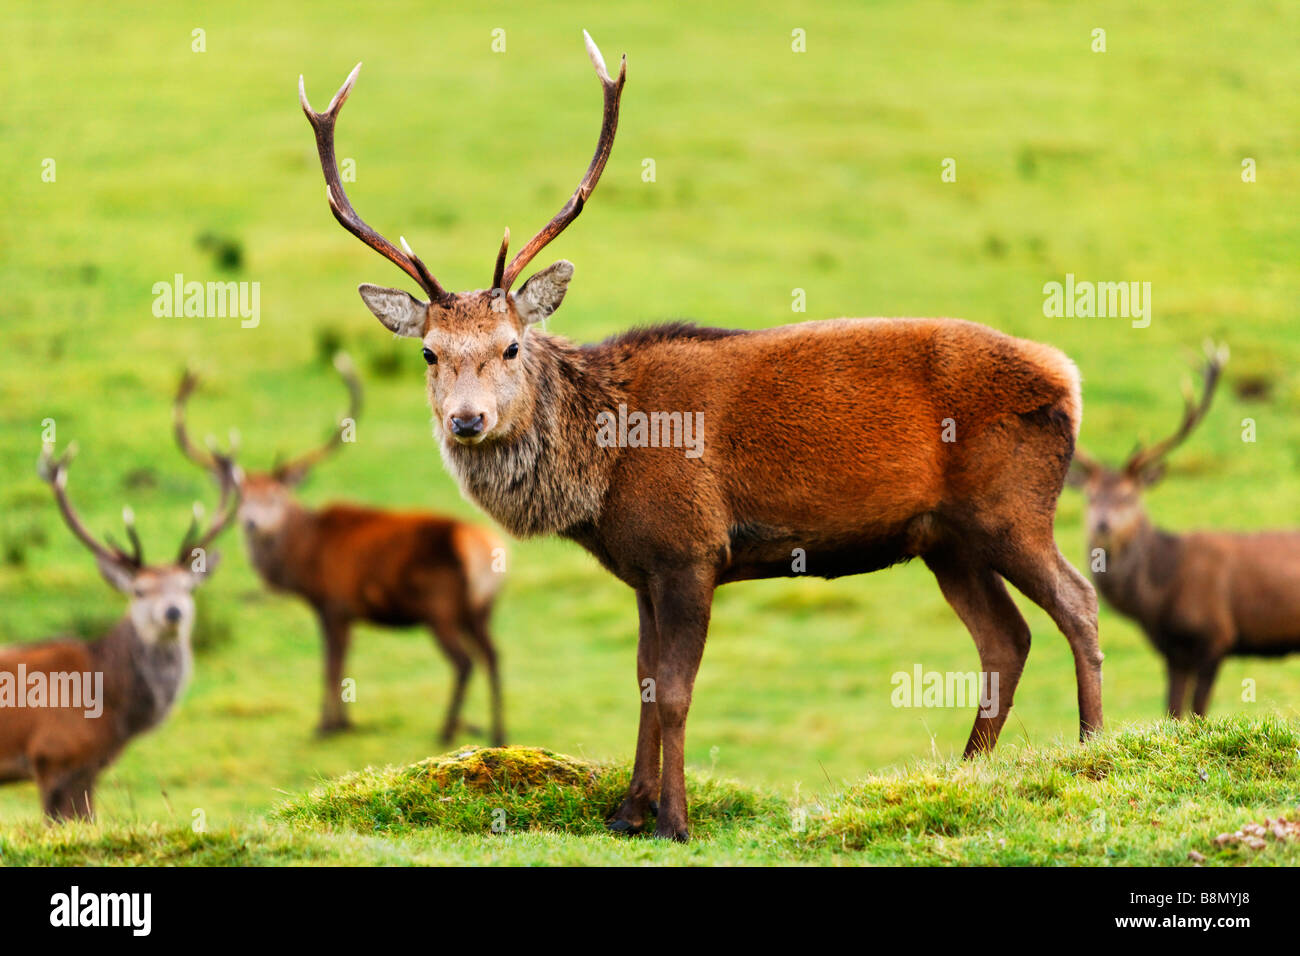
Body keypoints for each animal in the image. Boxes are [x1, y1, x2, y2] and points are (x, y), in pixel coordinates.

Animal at [173, 355, 507, 744]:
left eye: (276, 496)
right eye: (241, 499)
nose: (252, 523)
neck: (304, 556)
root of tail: (481, 544)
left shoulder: (333, 603)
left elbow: (330, 665)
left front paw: (326, 725)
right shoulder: (346, 612)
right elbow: (343, 662)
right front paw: (345, 722)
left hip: (439, 607)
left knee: (464, 661)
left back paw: (446, 731)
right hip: (479, 609)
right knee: (493, 655)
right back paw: (498, 733)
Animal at [297, 31, 1103, 842]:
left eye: (512, 346)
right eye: (430, 353)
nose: (468, 420)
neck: (603, 469)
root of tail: (1066, 376)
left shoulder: (691, 548)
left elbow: (678, 689)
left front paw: (672, 820)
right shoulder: (643, 566)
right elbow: (644, 682)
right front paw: (627, 812)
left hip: (1011, 507)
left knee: (1078, 601)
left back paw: (1092, 751)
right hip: (946, 537)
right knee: (1005, 636)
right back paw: (967, 772)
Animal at [1069, 343, 1300, 718]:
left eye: (1129, 496)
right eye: (1089, 496)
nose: (1103, 524)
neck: (1159, 597)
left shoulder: (1216, 637)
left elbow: (1198, 709)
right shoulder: (1172, 652)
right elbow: (1173, 710)